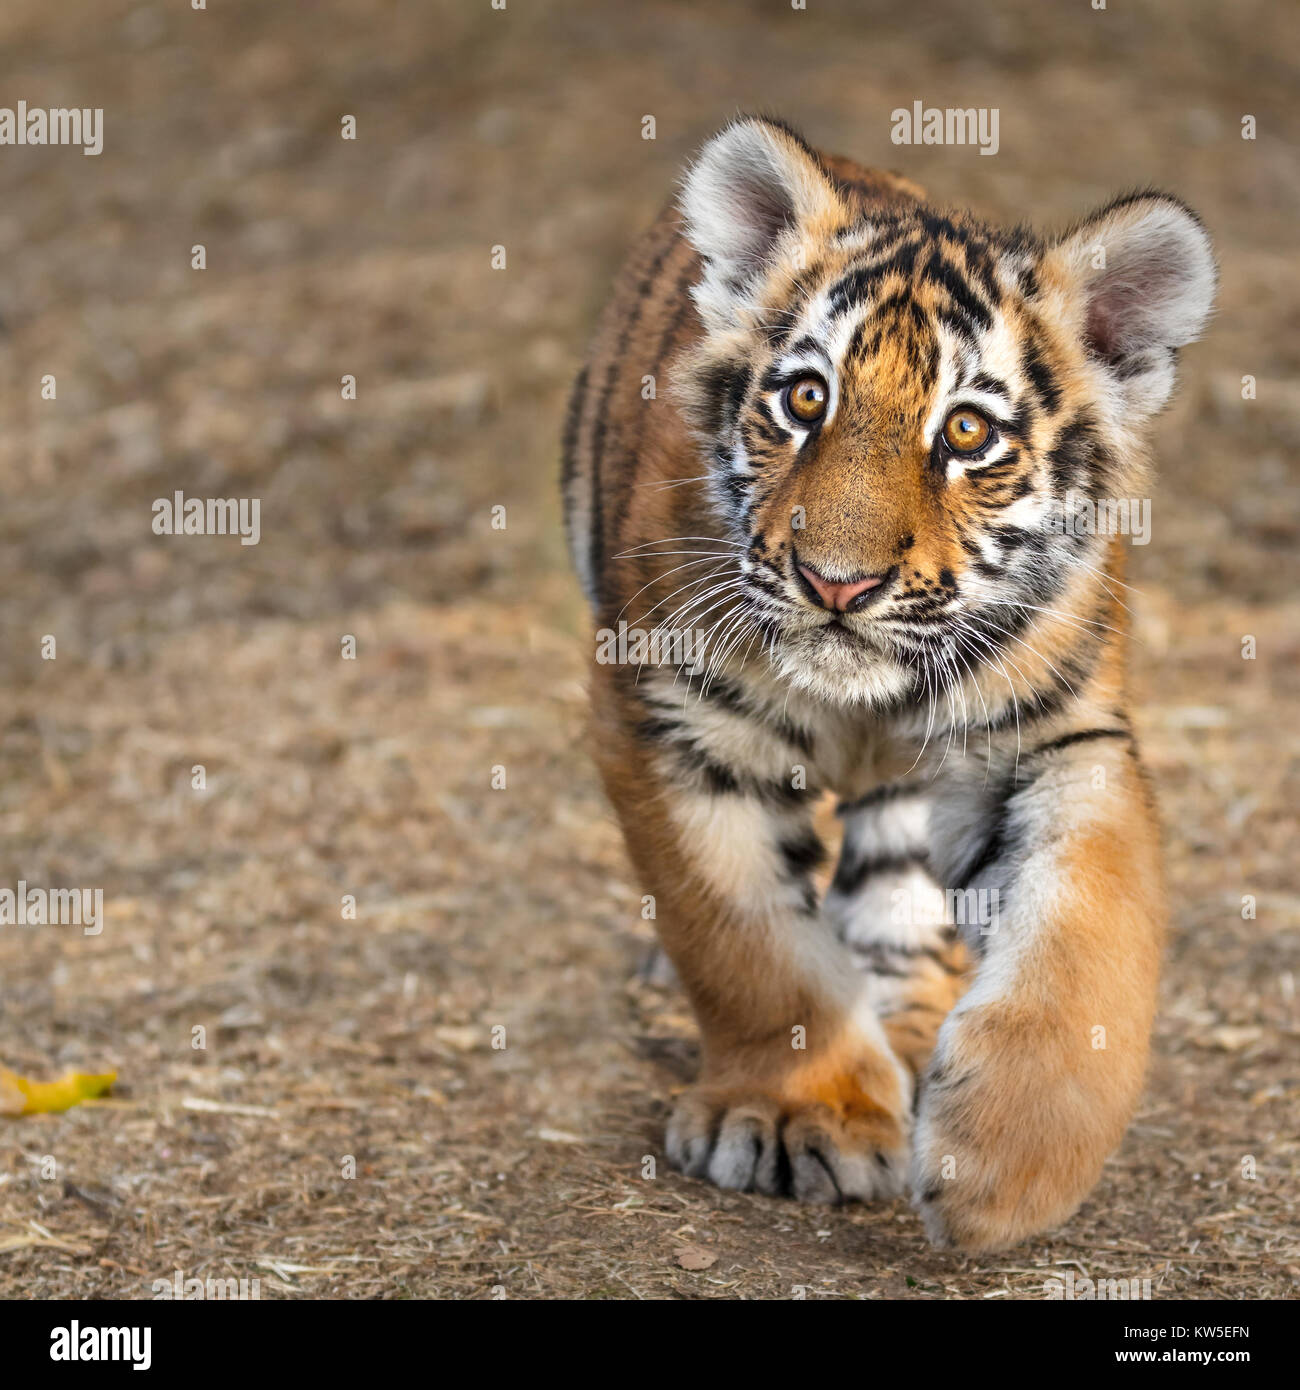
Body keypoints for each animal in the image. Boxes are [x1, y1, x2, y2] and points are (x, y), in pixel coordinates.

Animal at [560, 116, 1215, 1251]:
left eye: (966, 433)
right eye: (804, 398)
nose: (836, 581)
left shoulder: (1053, 737)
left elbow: (1089, 925)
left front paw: (1005, 1165)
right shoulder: (674, 722)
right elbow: (744, 940)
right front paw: (799, 1114)